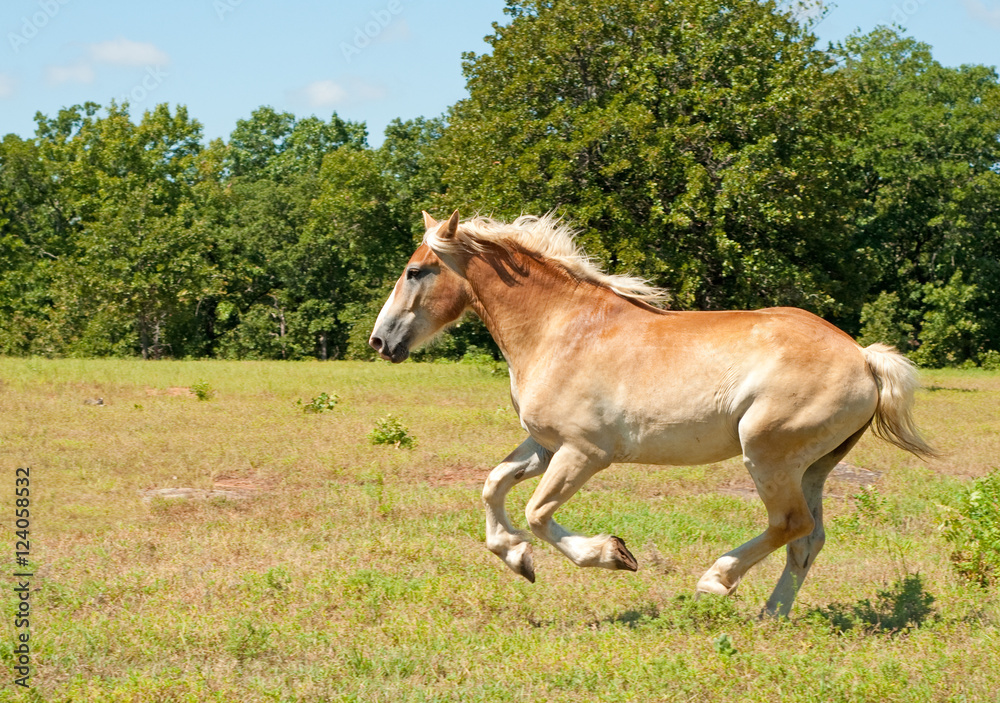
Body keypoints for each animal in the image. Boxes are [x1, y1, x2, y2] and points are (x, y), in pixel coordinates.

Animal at [369, 210, 936, 616]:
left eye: (415, 271)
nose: (380, 341)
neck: (561, 330)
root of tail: (862, 356)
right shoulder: (545, 446)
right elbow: (492, 486)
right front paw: (517, 558)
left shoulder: (584, 453)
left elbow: (537, 513)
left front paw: (612, 554)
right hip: (813, 466)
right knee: (808, 539)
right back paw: (771, 615)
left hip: (767, 456)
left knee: (790, 524)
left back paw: (716, 580)